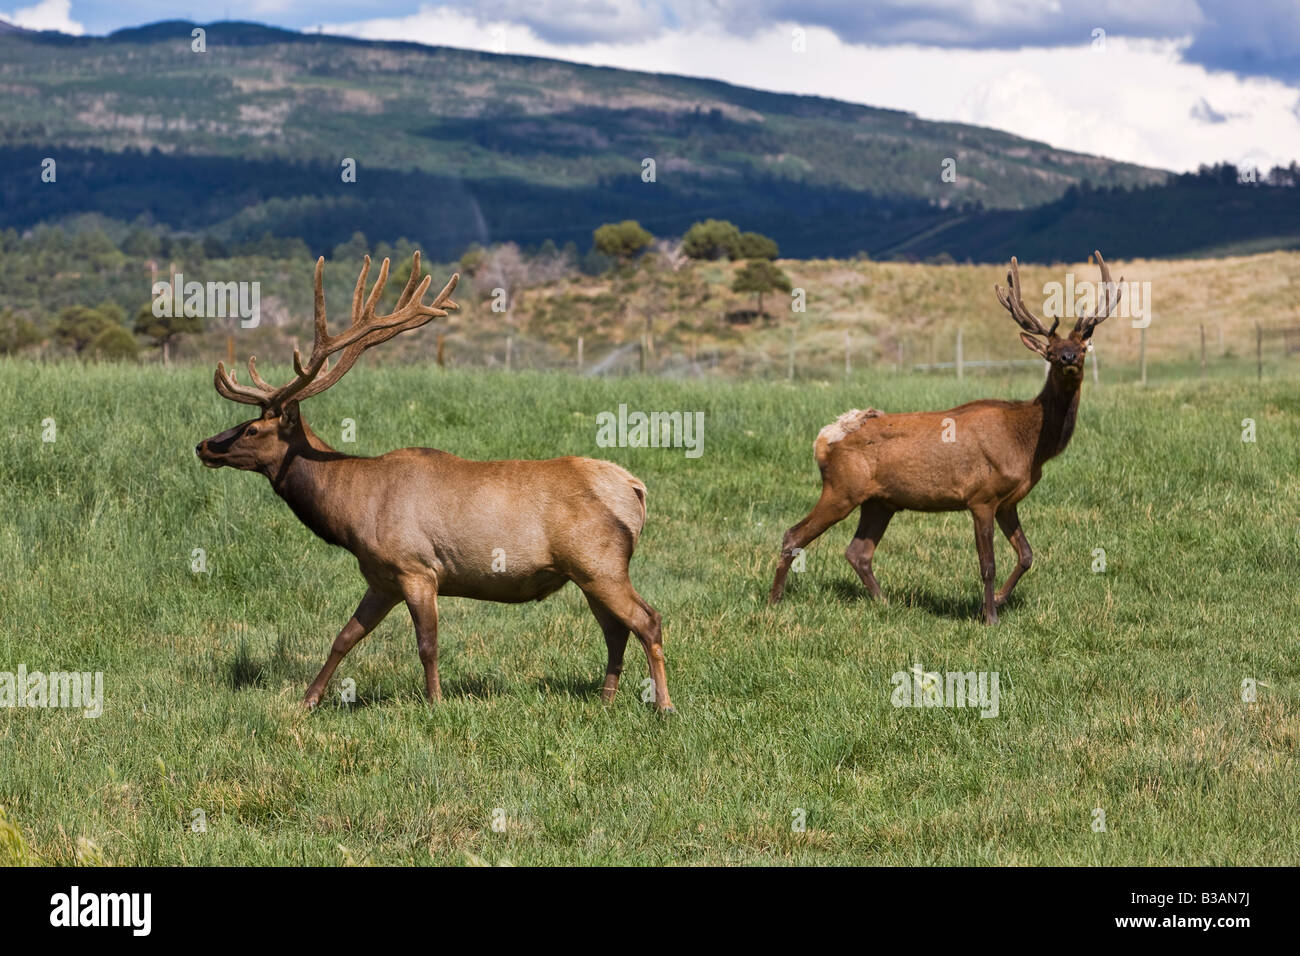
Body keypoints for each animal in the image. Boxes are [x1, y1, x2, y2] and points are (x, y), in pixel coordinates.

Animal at [196, 252, 674, 713]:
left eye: (252, 429)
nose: (203, 446)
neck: (351, 511)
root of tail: (635, 489)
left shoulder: (417, 568)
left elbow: (427, 645)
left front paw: (436, 703)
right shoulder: (381, 579)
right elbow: (344, 637)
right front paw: (308, 700)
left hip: (600, 562)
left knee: (648, 620)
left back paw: (663, 706)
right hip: (589, 572)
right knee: (616, 629)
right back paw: (605, 699)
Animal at [769, 251, 1123, 624]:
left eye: (1081, 348)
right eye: (1051, 353)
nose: (1068, 358)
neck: (1029, 445)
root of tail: (823, 440)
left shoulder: (1008, 500)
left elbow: (1027, 555)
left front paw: (997, 601)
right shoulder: (981, 496)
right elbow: (988, 564)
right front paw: (990, 616)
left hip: (879, 501)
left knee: (858, 551)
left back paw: (886, 603)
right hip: (841, 488)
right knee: (793, 534)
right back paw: (774, 600)